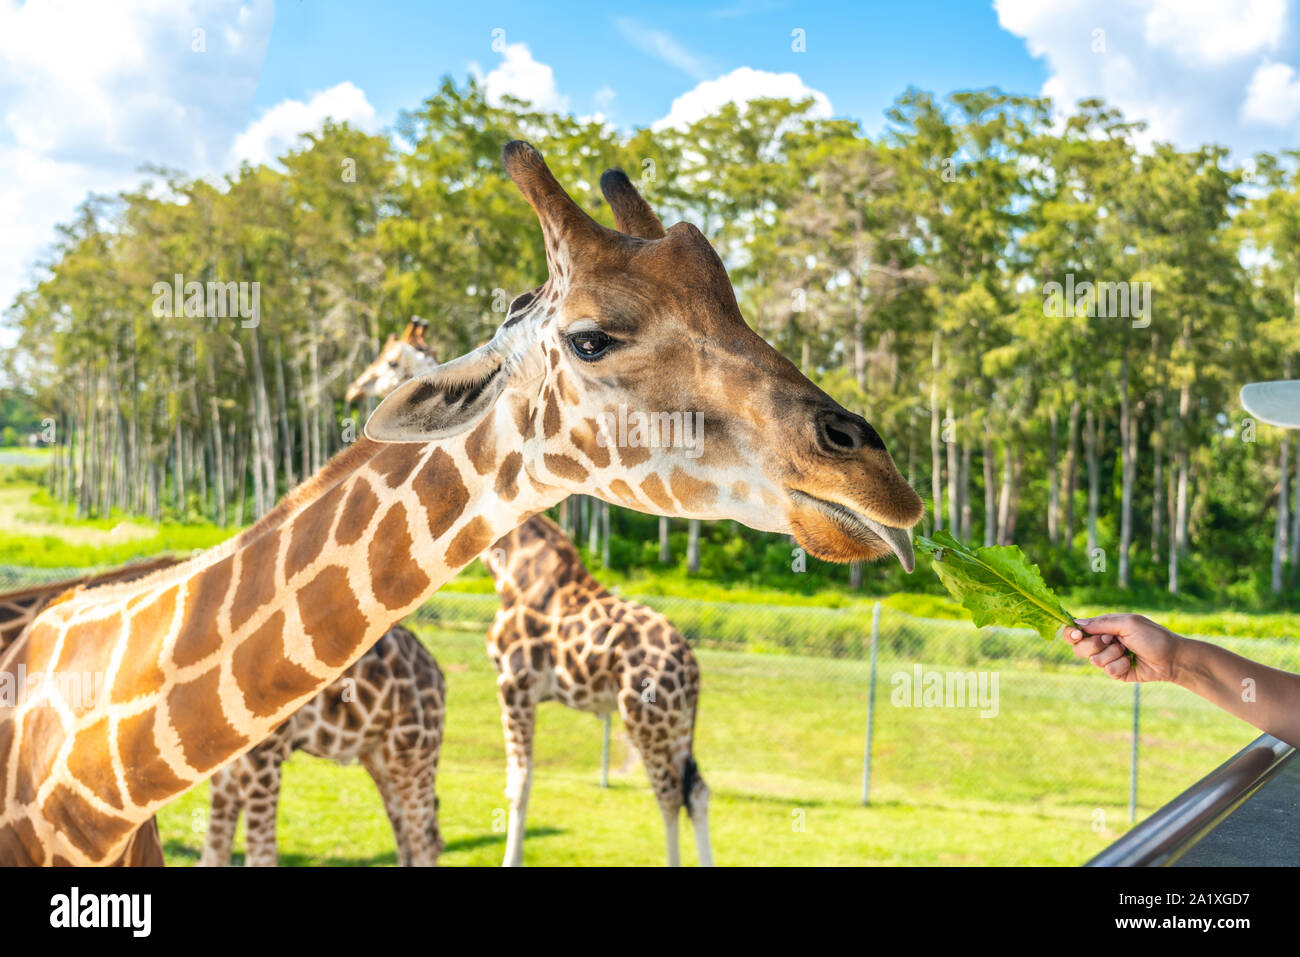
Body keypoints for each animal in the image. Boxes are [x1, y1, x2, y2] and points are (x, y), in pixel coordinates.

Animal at [200, 624, 444, 867]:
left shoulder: (265, 751)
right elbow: (214, 850)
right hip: (380, 756)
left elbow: (261, 856)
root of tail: (436, 670)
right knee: (409, 831)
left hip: (413, 748)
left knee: (425, 839)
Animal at [348, 334, 711, 867]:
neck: (510, 566)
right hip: (677, 721)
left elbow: (518, 786)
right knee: (696, 790)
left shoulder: (513, 682)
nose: (355, 390)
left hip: (646, 715)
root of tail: (692, 669)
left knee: (668, 794)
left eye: (390, 361)